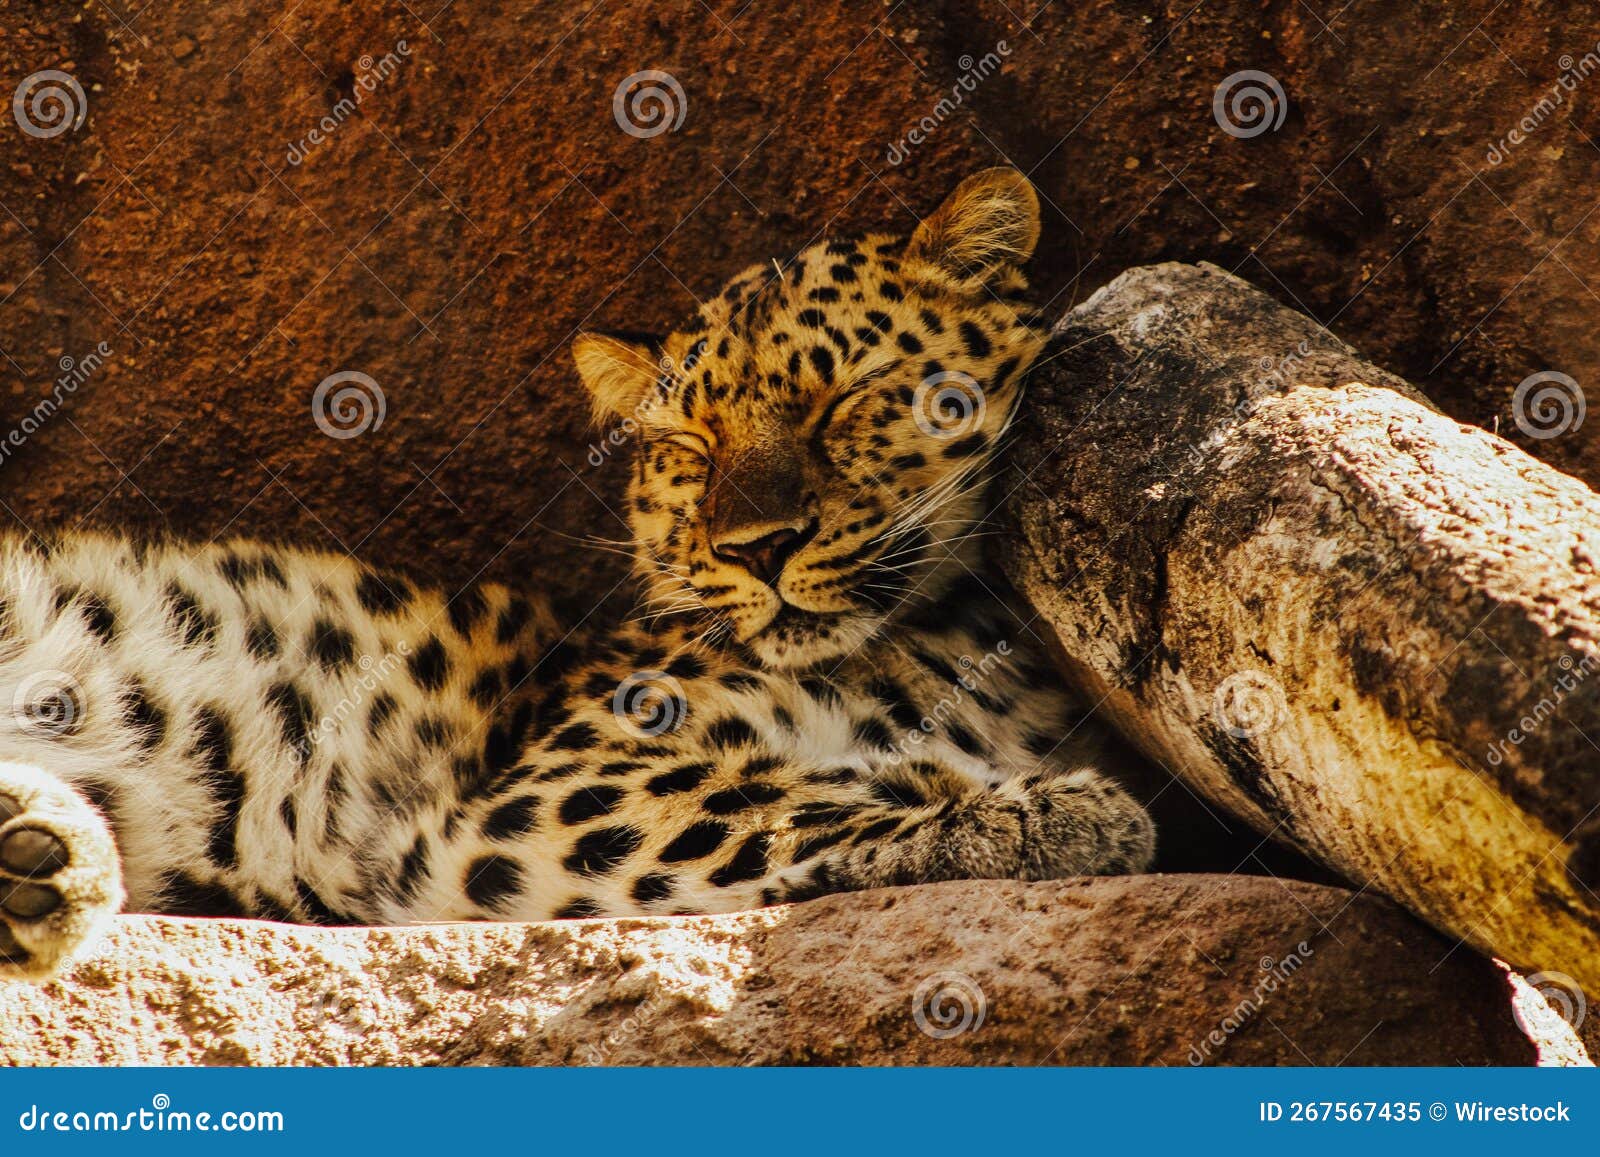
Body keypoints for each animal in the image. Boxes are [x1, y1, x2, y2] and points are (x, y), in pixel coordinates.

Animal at [0, 167, 1154, 981]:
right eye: (691, 448)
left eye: (848, 401)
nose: (757, 546)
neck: (955, 639)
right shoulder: (554, 786)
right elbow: (801, 793)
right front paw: (1048, 815)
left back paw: (41, 861)